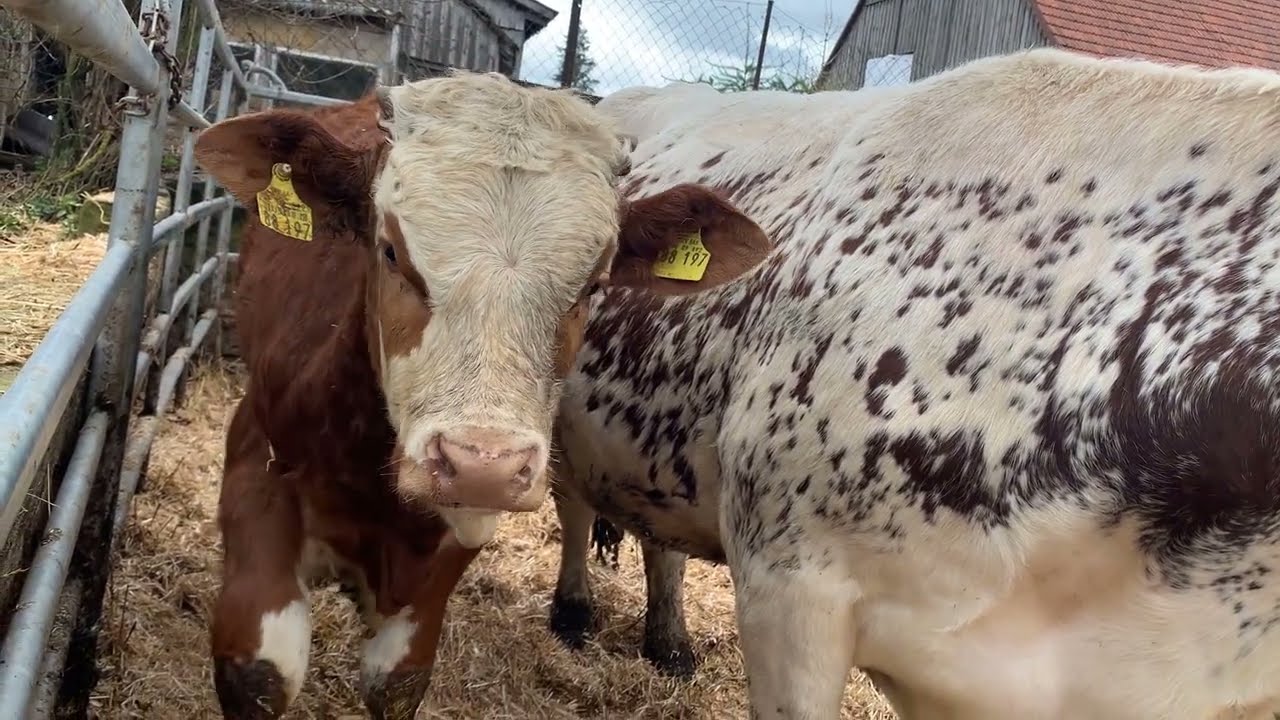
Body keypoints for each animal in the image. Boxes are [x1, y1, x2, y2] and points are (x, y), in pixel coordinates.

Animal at [191, 71, 771, 719]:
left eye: (594, 285)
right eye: (389, 251)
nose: (481, 465)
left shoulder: (444, 556)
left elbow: (396, 684)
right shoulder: (254, 467)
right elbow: (261, 677)